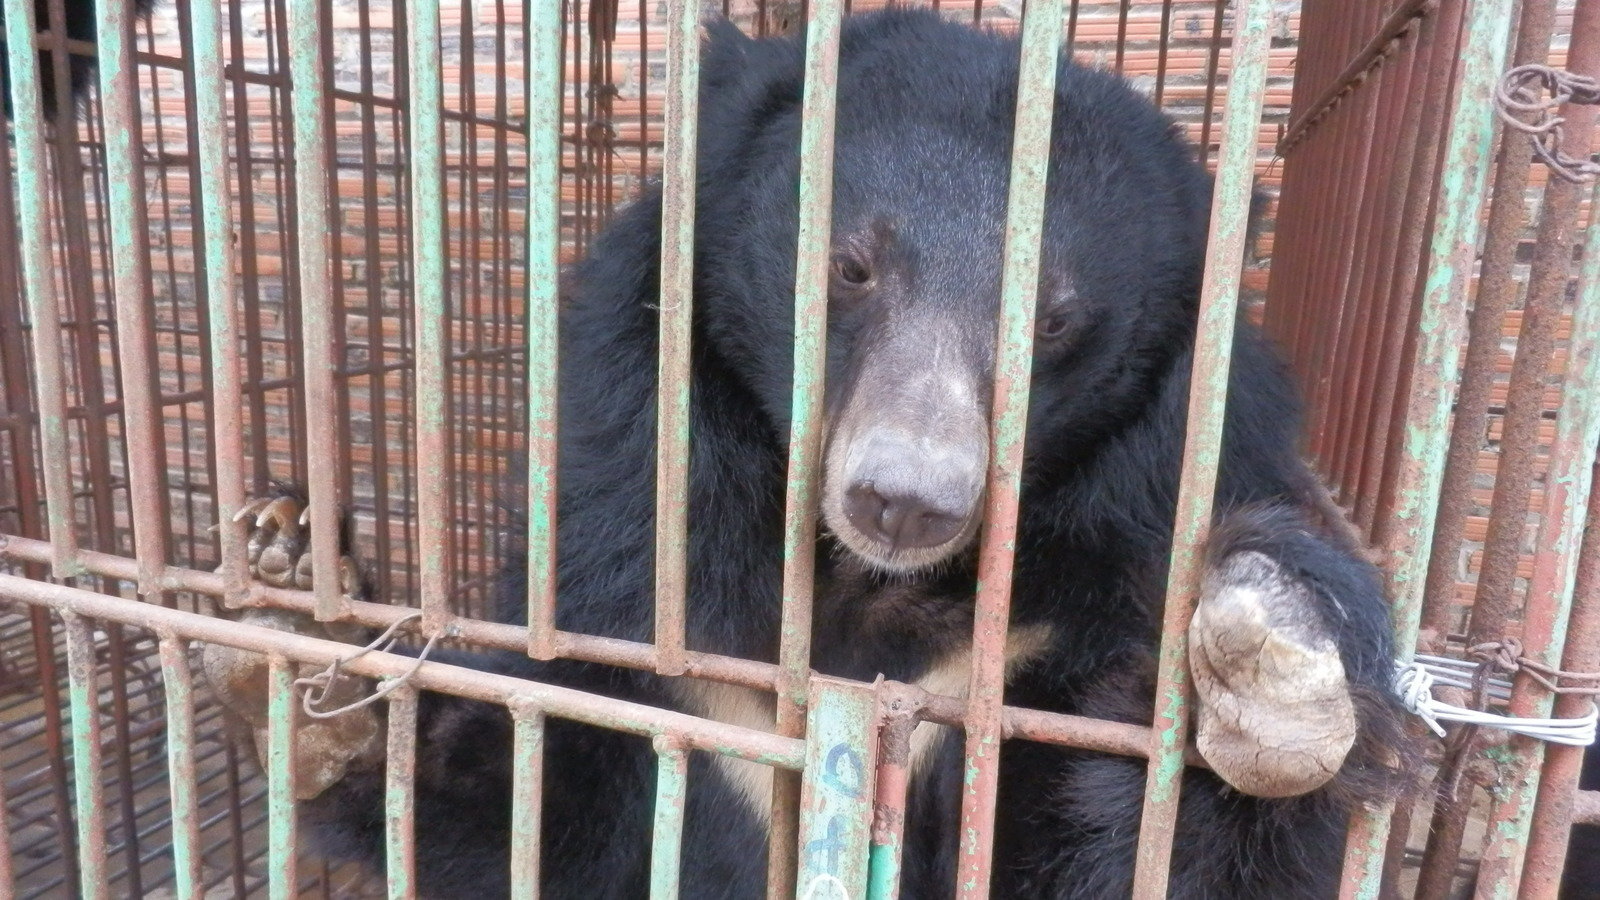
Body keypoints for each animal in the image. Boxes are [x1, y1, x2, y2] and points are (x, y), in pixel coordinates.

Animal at [200, 9, 1412, 898]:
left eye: (1055, 322)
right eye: (850, 267)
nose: (903, 499)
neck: (861, 587)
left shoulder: (1055, 626)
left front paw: (1271, 658)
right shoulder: (643, 618)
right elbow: (532, 812)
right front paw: (307, 640)